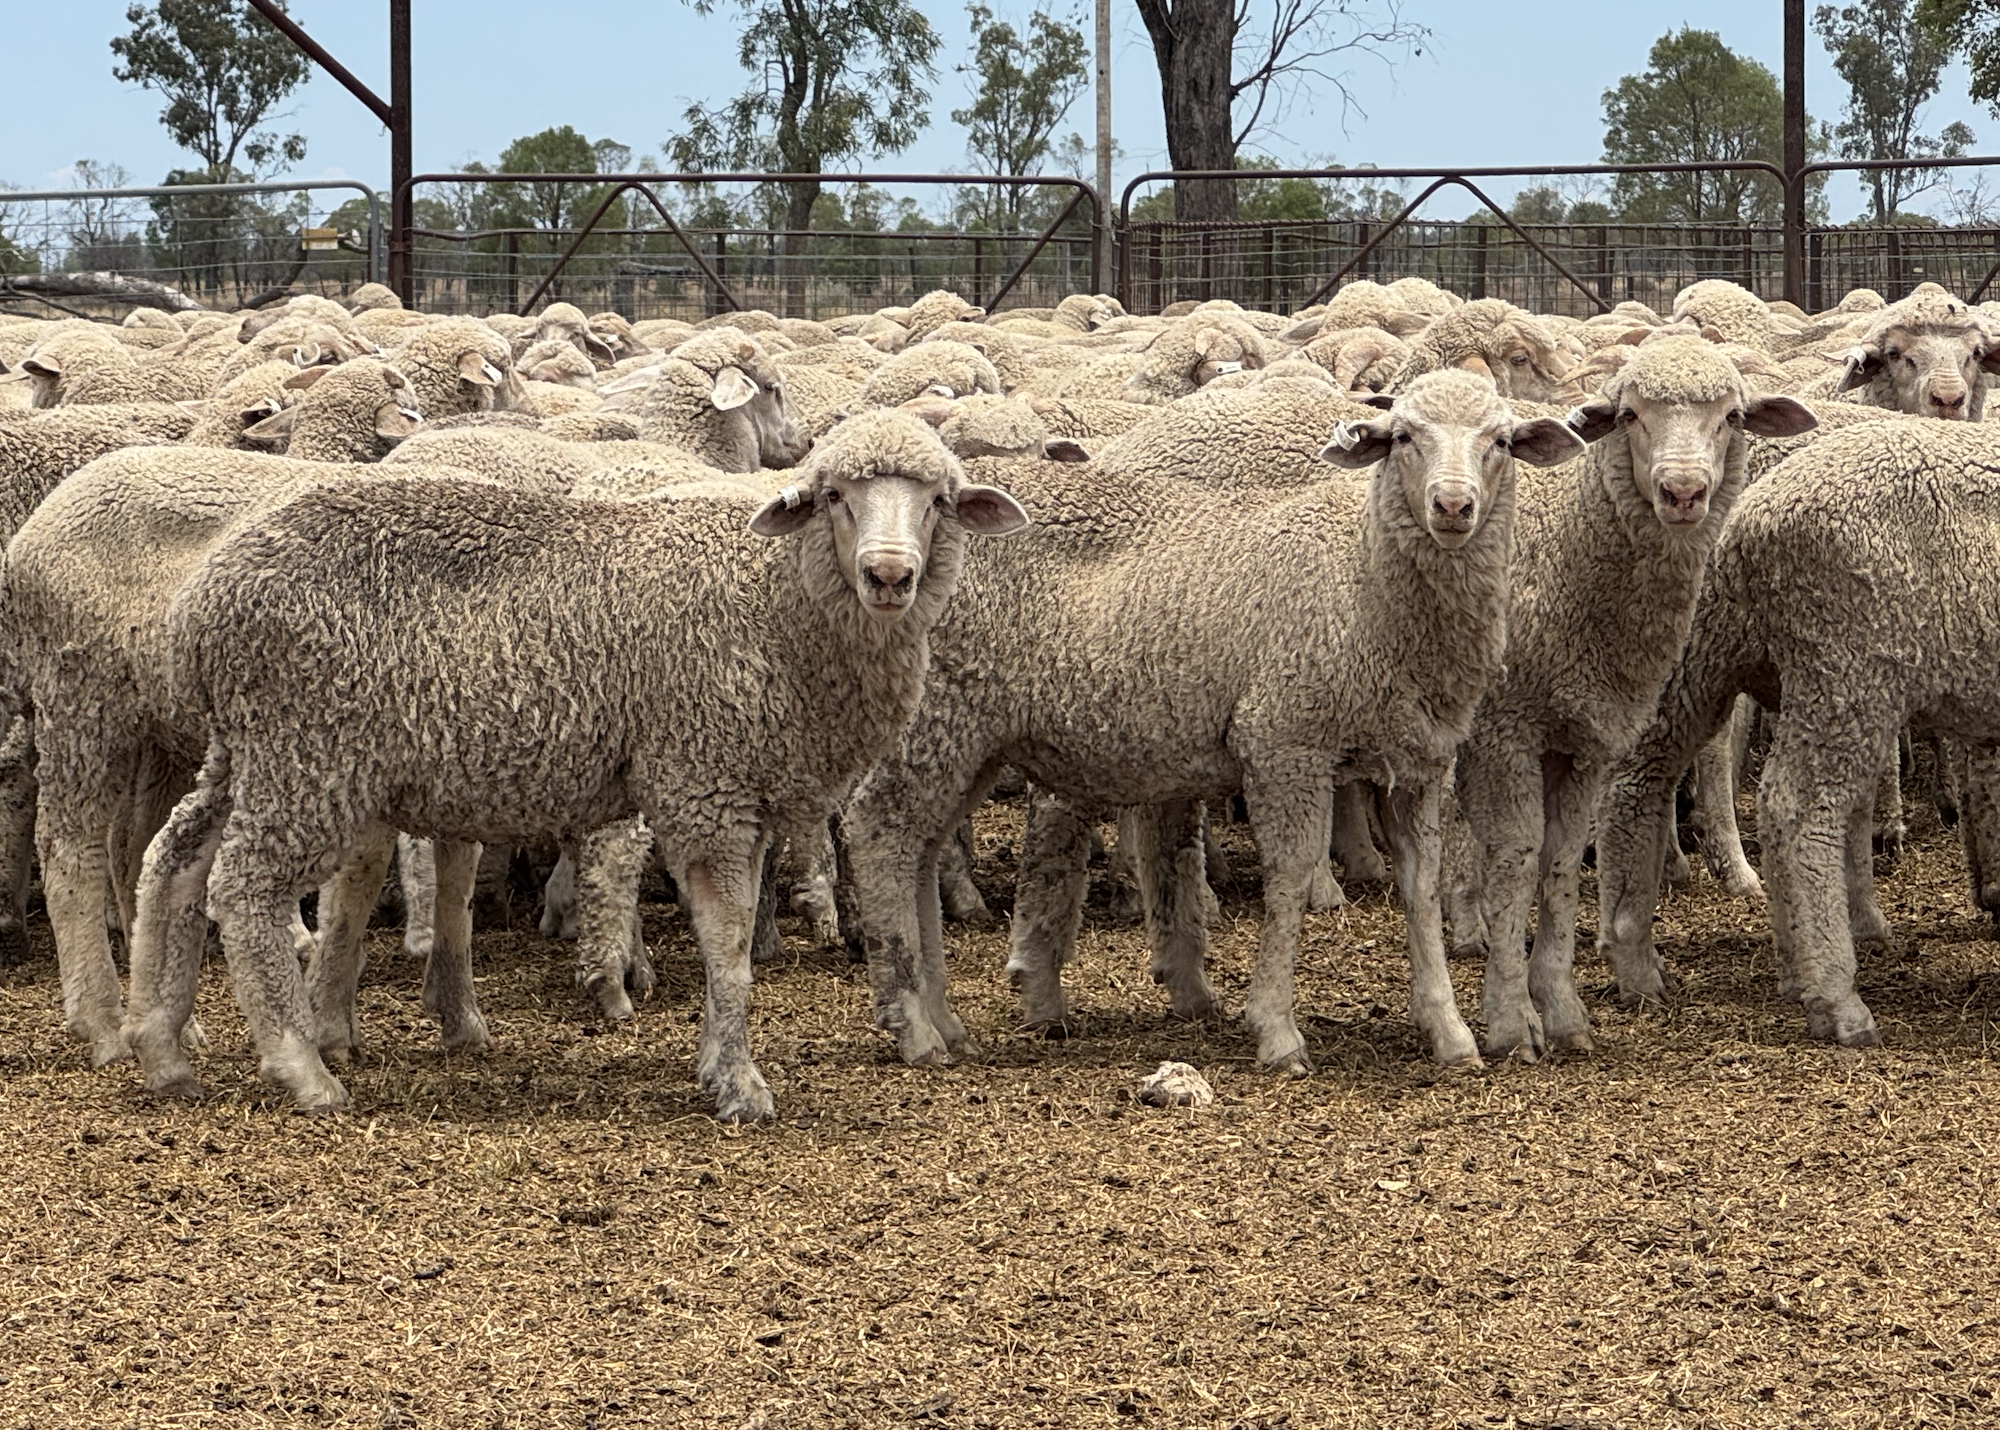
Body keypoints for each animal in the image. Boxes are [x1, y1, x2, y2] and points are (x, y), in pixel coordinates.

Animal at [117, 408, 1029, 1117]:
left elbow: (733, 940)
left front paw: (716, 1064)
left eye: (939, 502)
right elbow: (727, 944)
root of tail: (199, 608)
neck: (772, 599)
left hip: (249, 750)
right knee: (242, 885)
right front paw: (738, 1083)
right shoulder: (703, 781)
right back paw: (298, 1067)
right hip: (306, 754)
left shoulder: (746, 786)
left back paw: (161, 1048)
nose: (889, 574)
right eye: (835, 496)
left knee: (174, 860)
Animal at [842, 370, 1586, 1071]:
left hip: (970, 737)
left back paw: (945, 1021)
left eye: (1501, 441)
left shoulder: (1418, 761)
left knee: (918, 852)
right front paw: (1278, 1030)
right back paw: (914, 1027)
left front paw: (1449, 1029)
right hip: (938, 716)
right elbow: (1290, 881)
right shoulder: (1285, 739)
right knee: (881, 835)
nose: (1453, 506)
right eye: (1403, 437)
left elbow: (1420, 890)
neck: (1360, 581)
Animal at [1445, 337, 1816, 1060]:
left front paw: (1560, 1008)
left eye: (1731, 417)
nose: (1683, 491)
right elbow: (1516, 860)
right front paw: (1511, 1020)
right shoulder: (1507, 732)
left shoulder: (1585, 738)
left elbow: (1559, 865)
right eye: (1629, 417)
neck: (1566, 547)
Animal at [1595, 419, 2000, 1048]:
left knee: (1639, 778)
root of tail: (1751, 512)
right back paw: (1836, 998)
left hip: (1706, 645)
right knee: (1798, 810)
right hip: (1845, 660)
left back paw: (1638, 958)